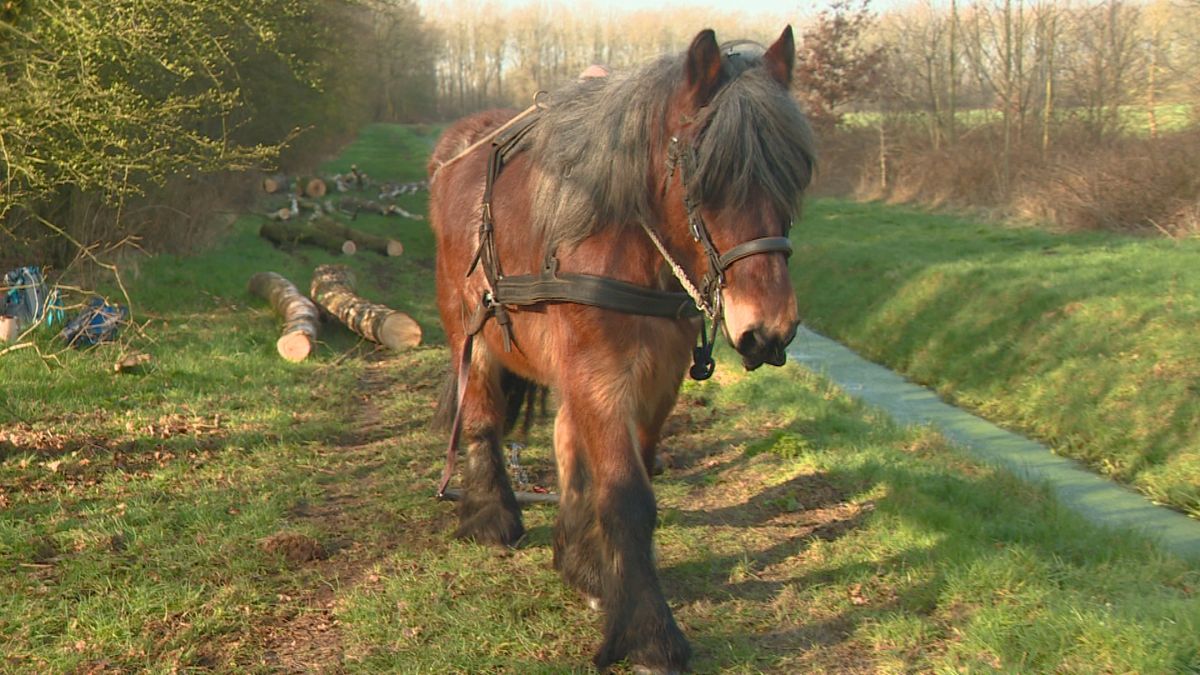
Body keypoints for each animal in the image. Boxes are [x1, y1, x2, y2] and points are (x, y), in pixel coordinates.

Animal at [427, 26, 815, 672]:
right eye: (705, 178)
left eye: (793, 175)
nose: (769, 331)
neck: (628, 240)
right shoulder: (600, 373)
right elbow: (627, 496)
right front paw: (648, 633)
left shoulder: (659, 375)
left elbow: (612, 471)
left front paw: (592, 572)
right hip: (470, 331)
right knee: (479, 416)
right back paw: (490, 518)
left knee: (564, 438)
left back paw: (577, 558)